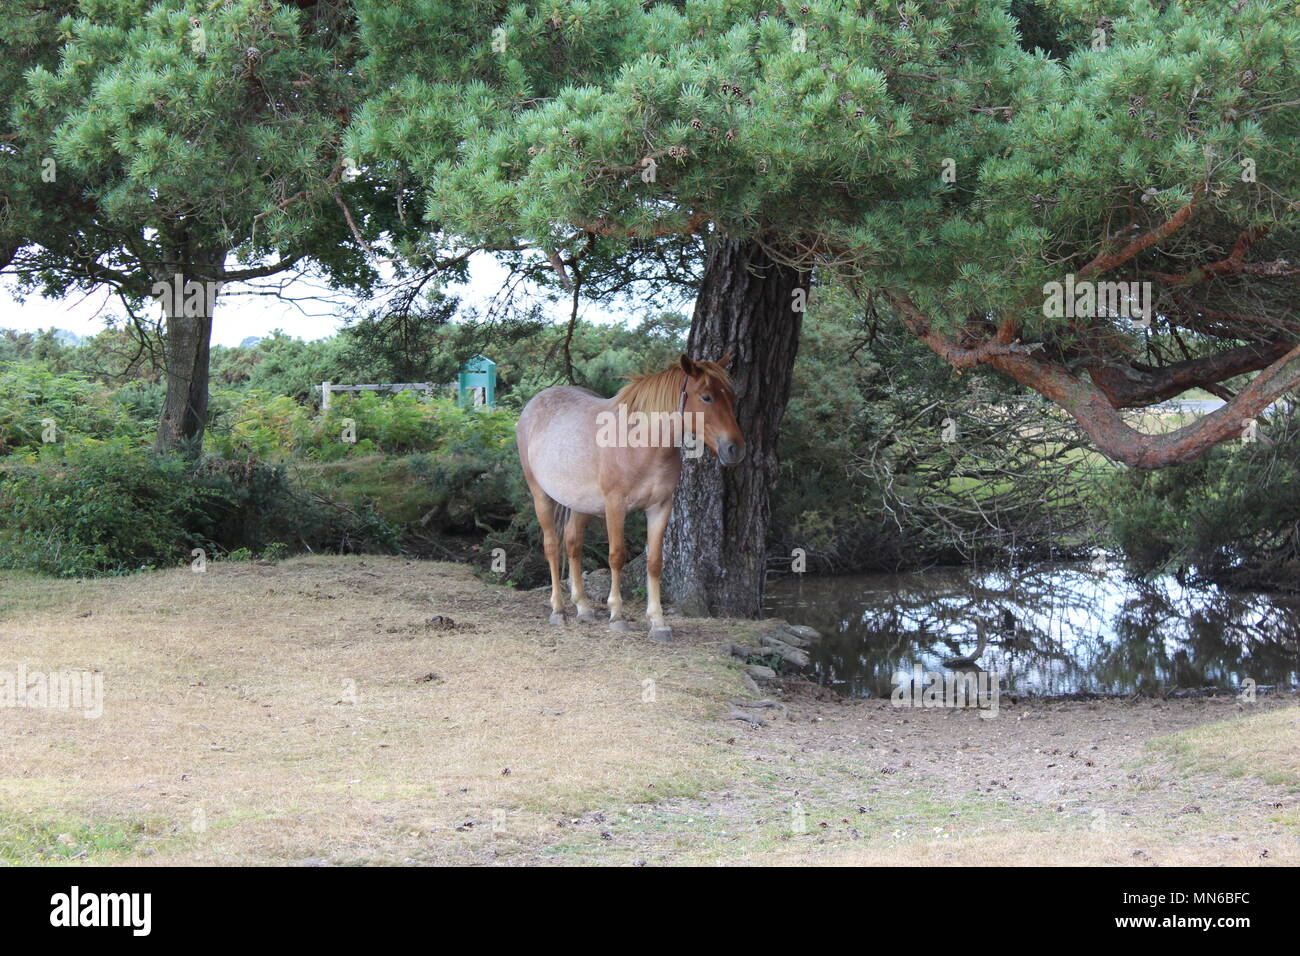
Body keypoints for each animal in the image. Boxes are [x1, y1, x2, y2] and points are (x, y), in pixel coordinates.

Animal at [515, 353, 746, 641]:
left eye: (732, 397)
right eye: (706, 397)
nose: (735, 449)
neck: (640, 444)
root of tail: (534, 403)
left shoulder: (660, 507)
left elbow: (655, 562)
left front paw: (658, 622)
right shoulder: (615, 506)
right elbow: (616, 556)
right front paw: (617, 615)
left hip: (582, 505)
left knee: (572, 543)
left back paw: (583, 607)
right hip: (541, 496)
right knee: (551, 546)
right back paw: (558, 610)